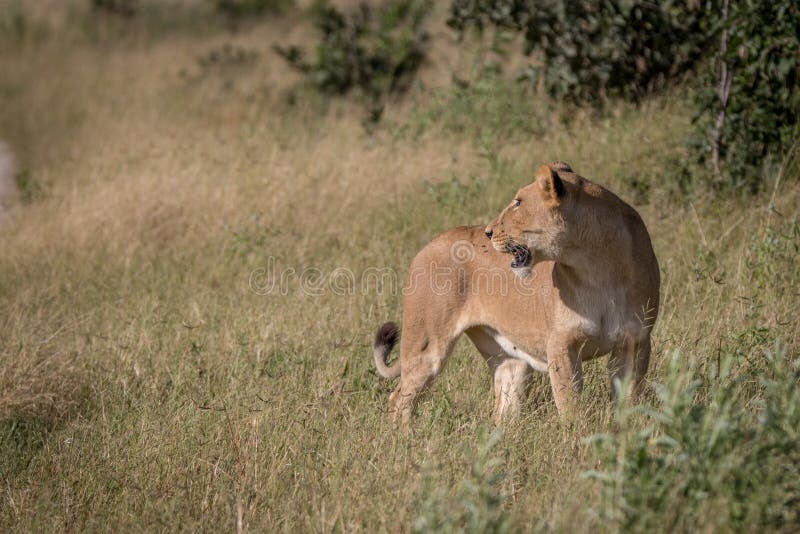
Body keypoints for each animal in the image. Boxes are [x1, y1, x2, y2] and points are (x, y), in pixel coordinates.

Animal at [372, 161, 660, 424]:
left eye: (518, 202)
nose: (488, 232)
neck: (595, 269)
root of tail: (427, 245)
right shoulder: (561, 345)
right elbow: (570, 406)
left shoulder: (635, 342)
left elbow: (628, 401)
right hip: (427, 347)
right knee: (398, 399)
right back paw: (404, 442)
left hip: (508, 360)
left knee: (503, 410)